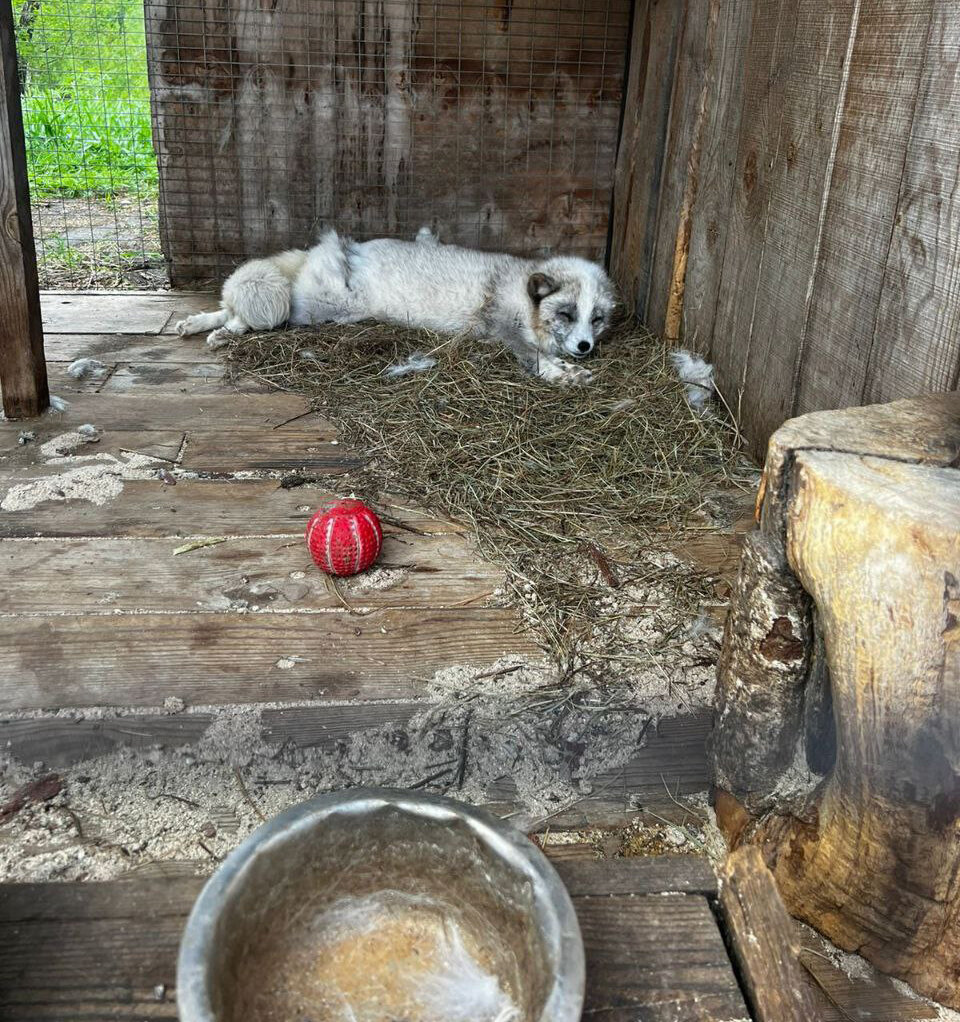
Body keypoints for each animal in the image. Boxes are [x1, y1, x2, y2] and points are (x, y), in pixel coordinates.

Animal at [176, 225, 617, 384]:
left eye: (596, 319)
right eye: (566, 314)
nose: (585, 347)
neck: (520, 290)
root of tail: (328, 249)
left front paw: (569, 367)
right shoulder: (503, 327)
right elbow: (532, 355)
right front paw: (560, 372)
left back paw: (199, 325)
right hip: (312, 310)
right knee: (251, 314)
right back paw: (224, 331)